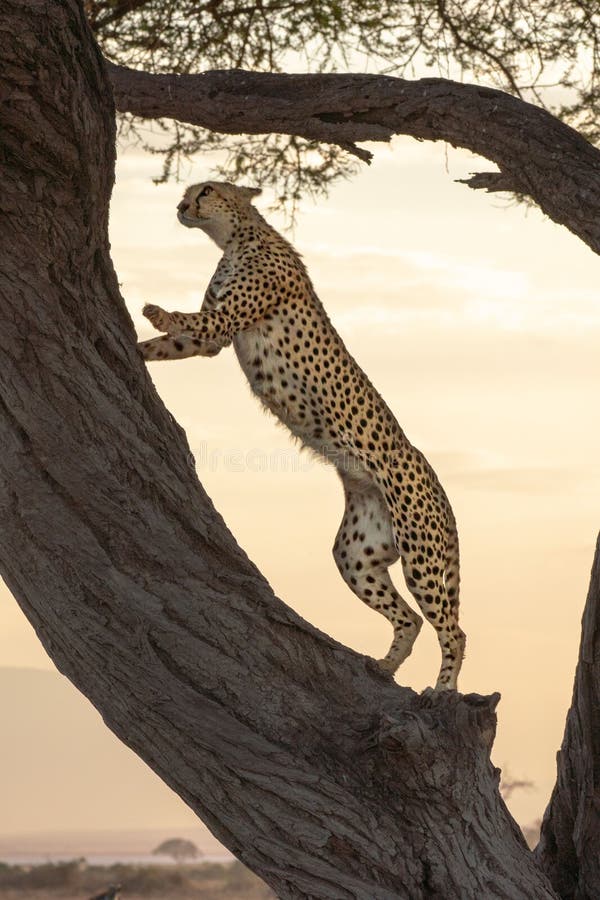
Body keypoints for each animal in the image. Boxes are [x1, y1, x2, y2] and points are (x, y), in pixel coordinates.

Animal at [138, 181, 466, 690]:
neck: (235, 238)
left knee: (453, 630)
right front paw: (136, 348)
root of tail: (440, 488)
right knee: (410, 618)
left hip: (420, 554)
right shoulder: (213, 338)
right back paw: (385, 666)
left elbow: (190, 320)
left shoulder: (222, 322)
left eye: (205, 190)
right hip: (357, 553)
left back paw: (445, 689)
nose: (180, 205)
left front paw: (157, 311)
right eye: (189, 192)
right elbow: (173, 342)